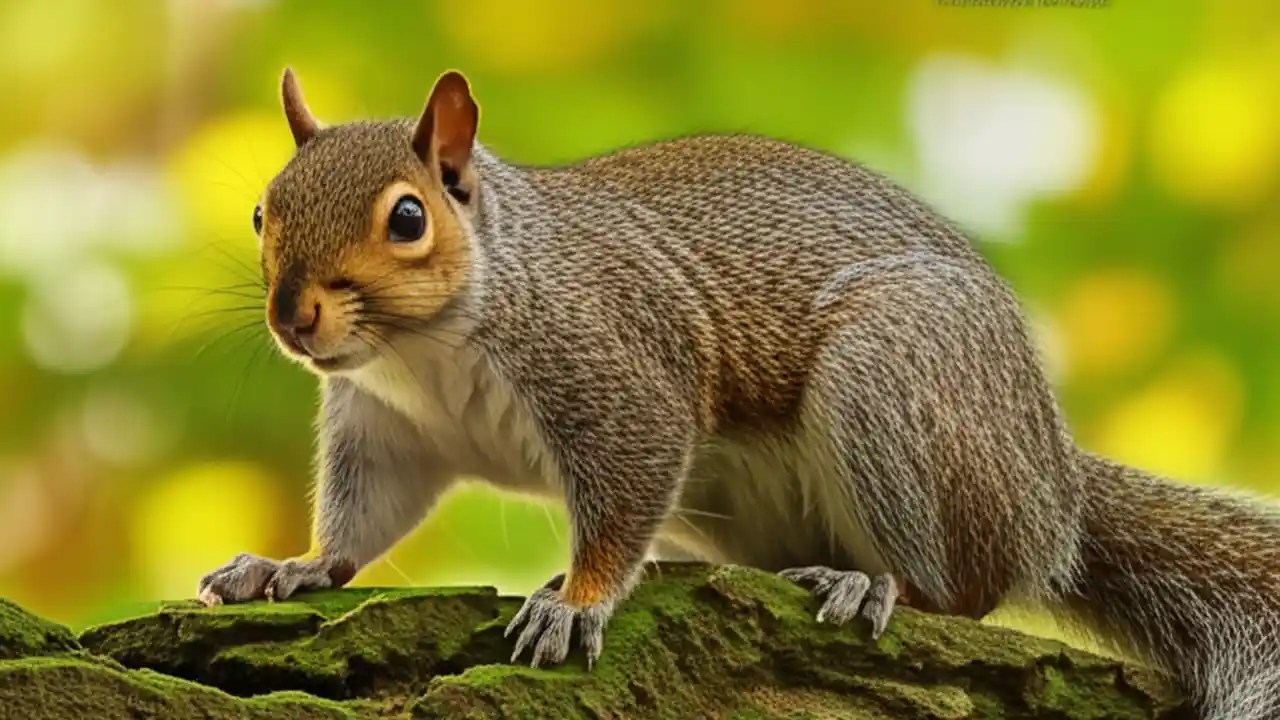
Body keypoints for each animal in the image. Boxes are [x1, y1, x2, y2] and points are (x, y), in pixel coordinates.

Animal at [195, 68, 1280, 719]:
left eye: (409, 218)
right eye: (260, 211)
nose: (293, 316)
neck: (425, 353)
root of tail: (1053, 483)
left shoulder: (616, 372)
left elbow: (626, 493)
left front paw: (574, 603)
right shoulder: (386, 431)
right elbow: (363, 523)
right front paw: (292, 567)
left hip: (890, 383)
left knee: (966, 593)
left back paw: (875, 584)